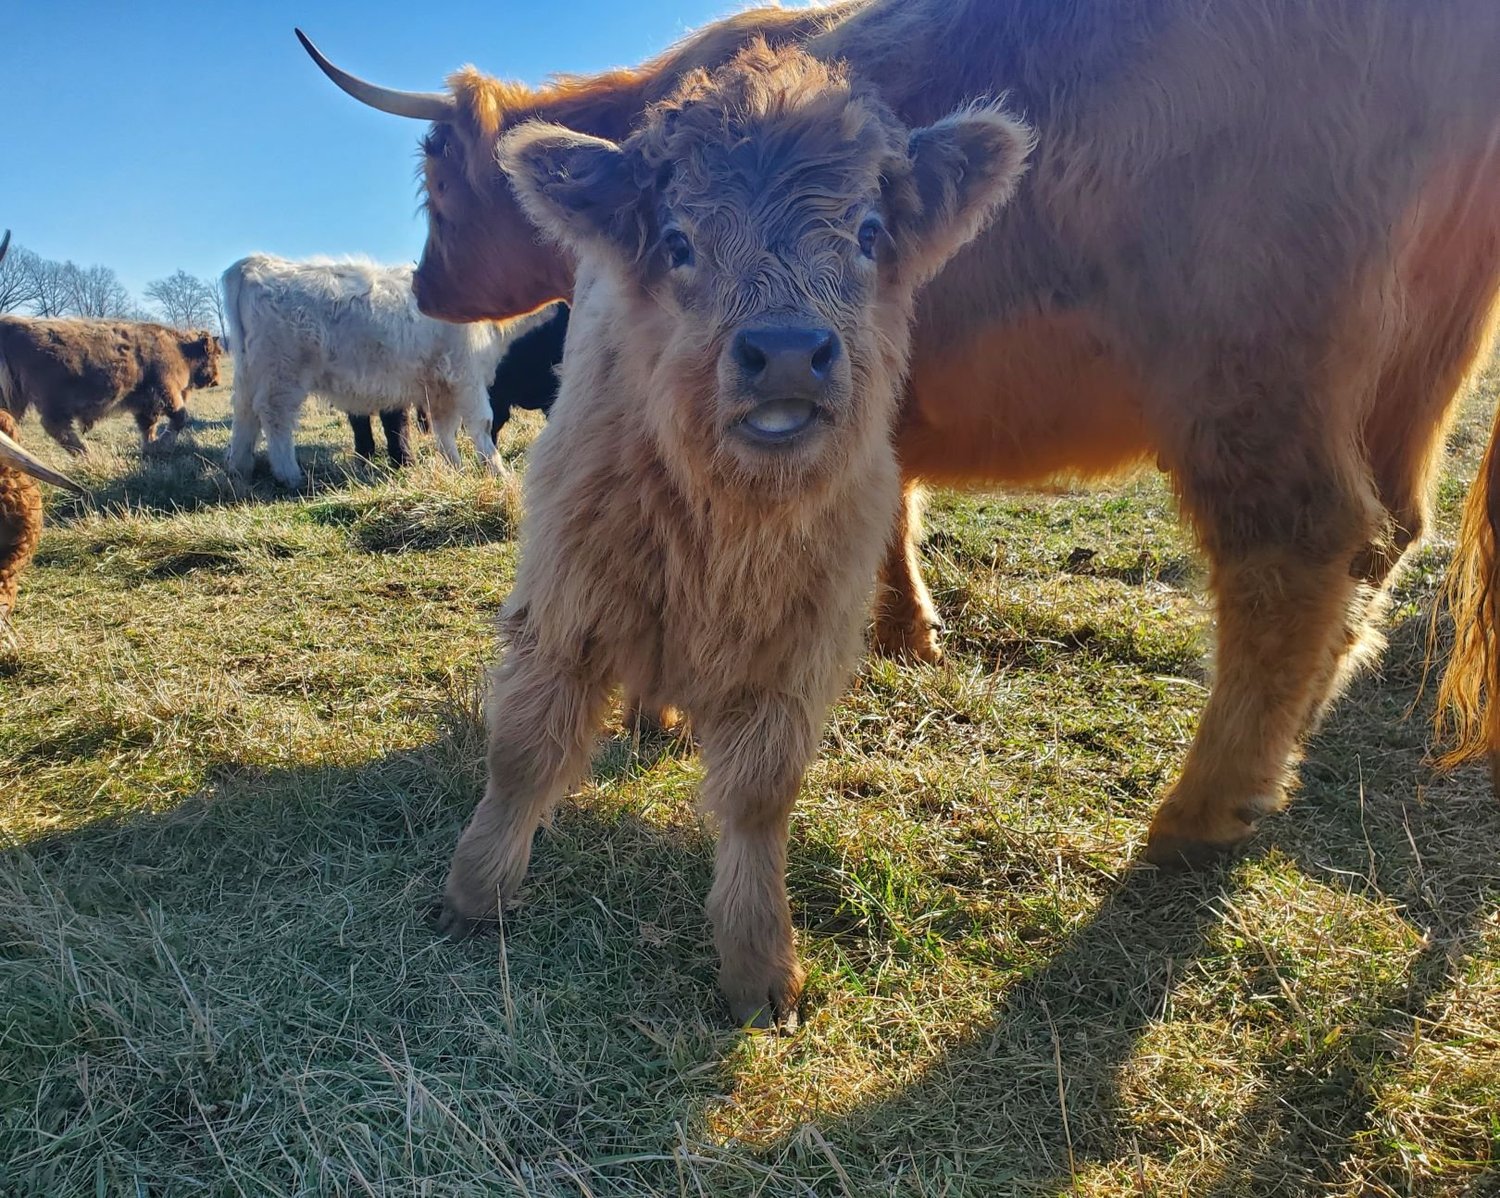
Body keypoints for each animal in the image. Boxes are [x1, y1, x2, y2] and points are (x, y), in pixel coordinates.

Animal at [0, 316, 221, 456]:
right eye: (217, 355)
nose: (217, 379)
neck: (181, 349)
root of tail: (11, 326)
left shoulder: (145, 404)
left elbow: (148, 426)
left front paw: (151, 447)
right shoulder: (167, 392)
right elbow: (179, 418)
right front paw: (163, 444)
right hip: (52, 403)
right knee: (57, 428)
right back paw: (87, 453)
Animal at [435, 42, 1030, 1025]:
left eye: (869, 232)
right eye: (679, 241)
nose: (787, 352)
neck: (729, 524)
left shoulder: (795, 649)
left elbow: (759, 796)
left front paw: (762, 969)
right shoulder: (565, 601)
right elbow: (525, 747)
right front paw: (476, 891)